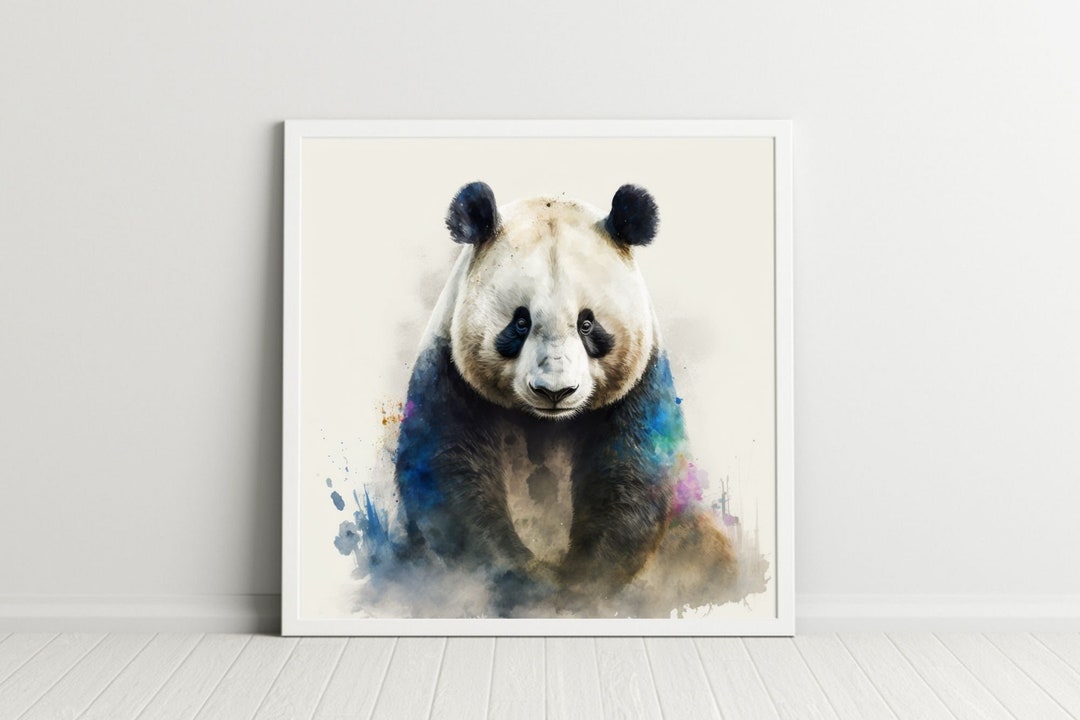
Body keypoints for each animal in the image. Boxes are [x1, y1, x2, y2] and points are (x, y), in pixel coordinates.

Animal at [393, 181, 736, 615]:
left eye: (587, 324)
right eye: (520, 322)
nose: (554, 391)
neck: (544, 422)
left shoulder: (639, 384)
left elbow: (633, 474)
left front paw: (579, 586)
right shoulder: (449, 374)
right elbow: (447, 474)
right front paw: (527, 581)